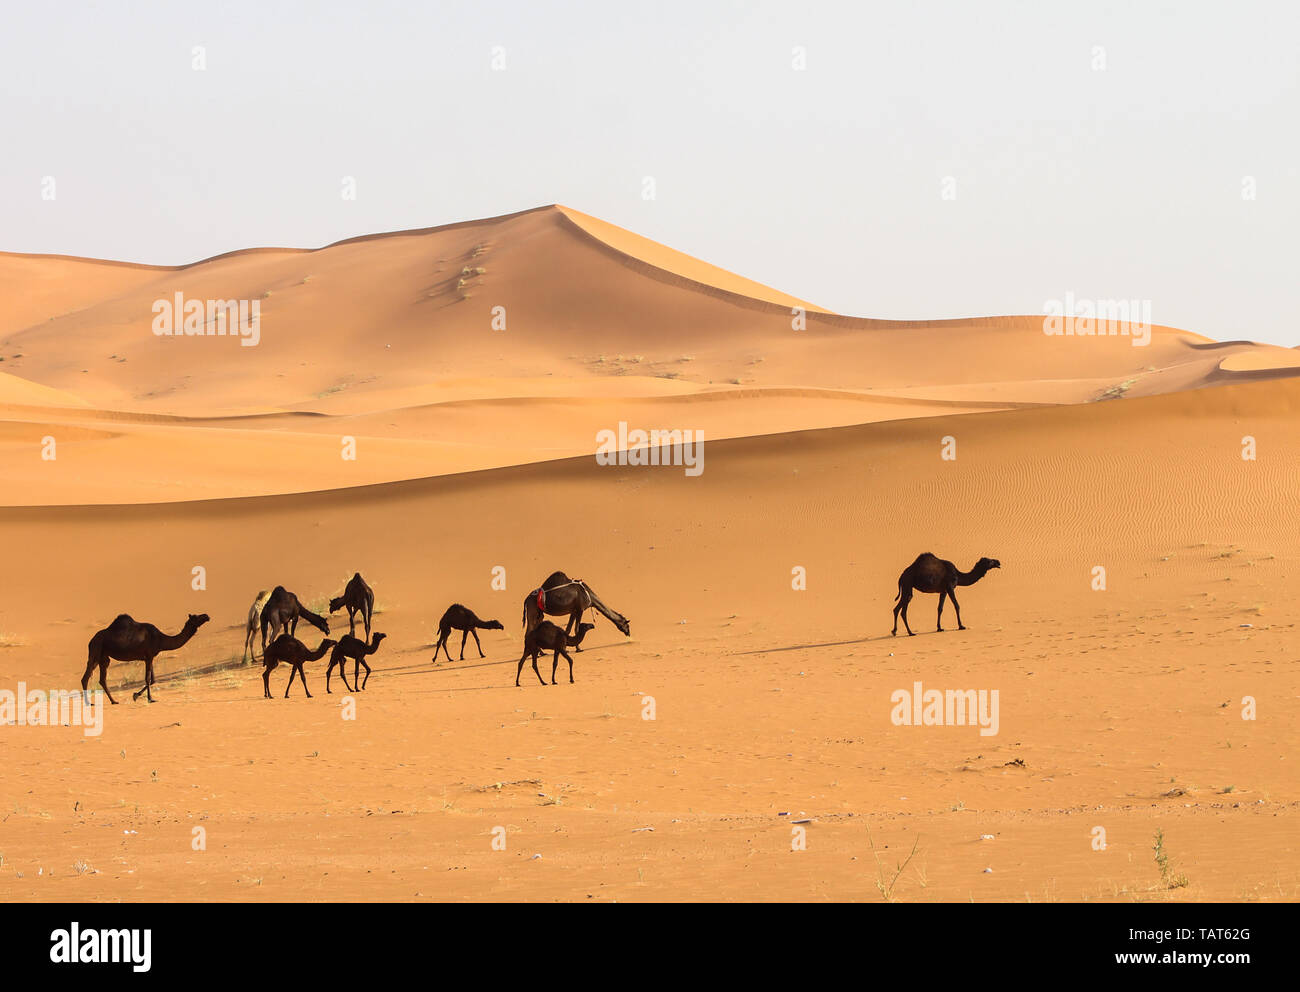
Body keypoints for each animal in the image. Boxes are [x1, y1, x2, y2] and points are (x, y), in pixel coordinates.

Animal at [81, 613, 210, 704]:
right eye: (196, 617)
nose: (207, 616)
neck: (161, 639)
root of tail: (91, 640)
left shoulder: (150, 657)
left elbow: (153, 680)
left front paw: (135, 695)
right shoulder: (148, 656)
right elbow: (148, 679)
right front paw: (149, 698)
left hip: (104, 658)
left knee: (102, 679)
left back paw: (114, 701)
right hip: (95, 650)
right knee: (86, 677)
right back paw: (89, 703)